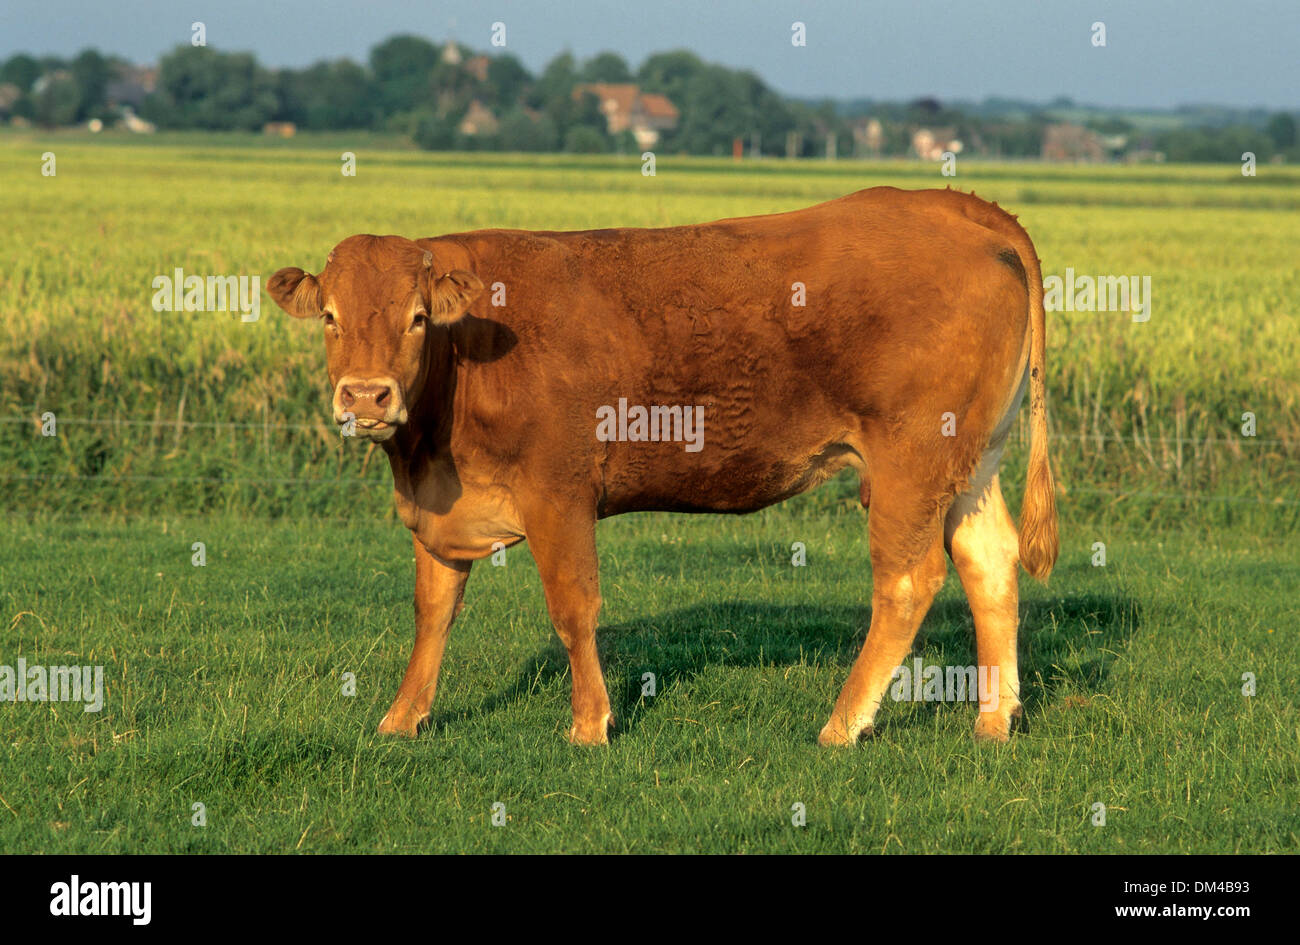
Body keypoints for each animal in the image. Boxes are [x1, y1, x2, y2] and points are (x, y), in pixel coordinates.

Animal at [267, 186, 1058, 747]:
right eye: (331, 317)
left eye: (417, 319)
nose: (365, 396)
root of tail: (951, 206)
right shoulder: (443, 508)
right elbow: (433, 611)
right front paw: (403, 717)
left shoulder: (559, 493)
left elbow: (573, 608)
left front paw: (590, 724)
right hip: (971, 459)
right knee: (989, 562)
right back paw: (994, 720)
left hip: (910, 461)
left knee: (907, 581)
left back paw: (843, 724)